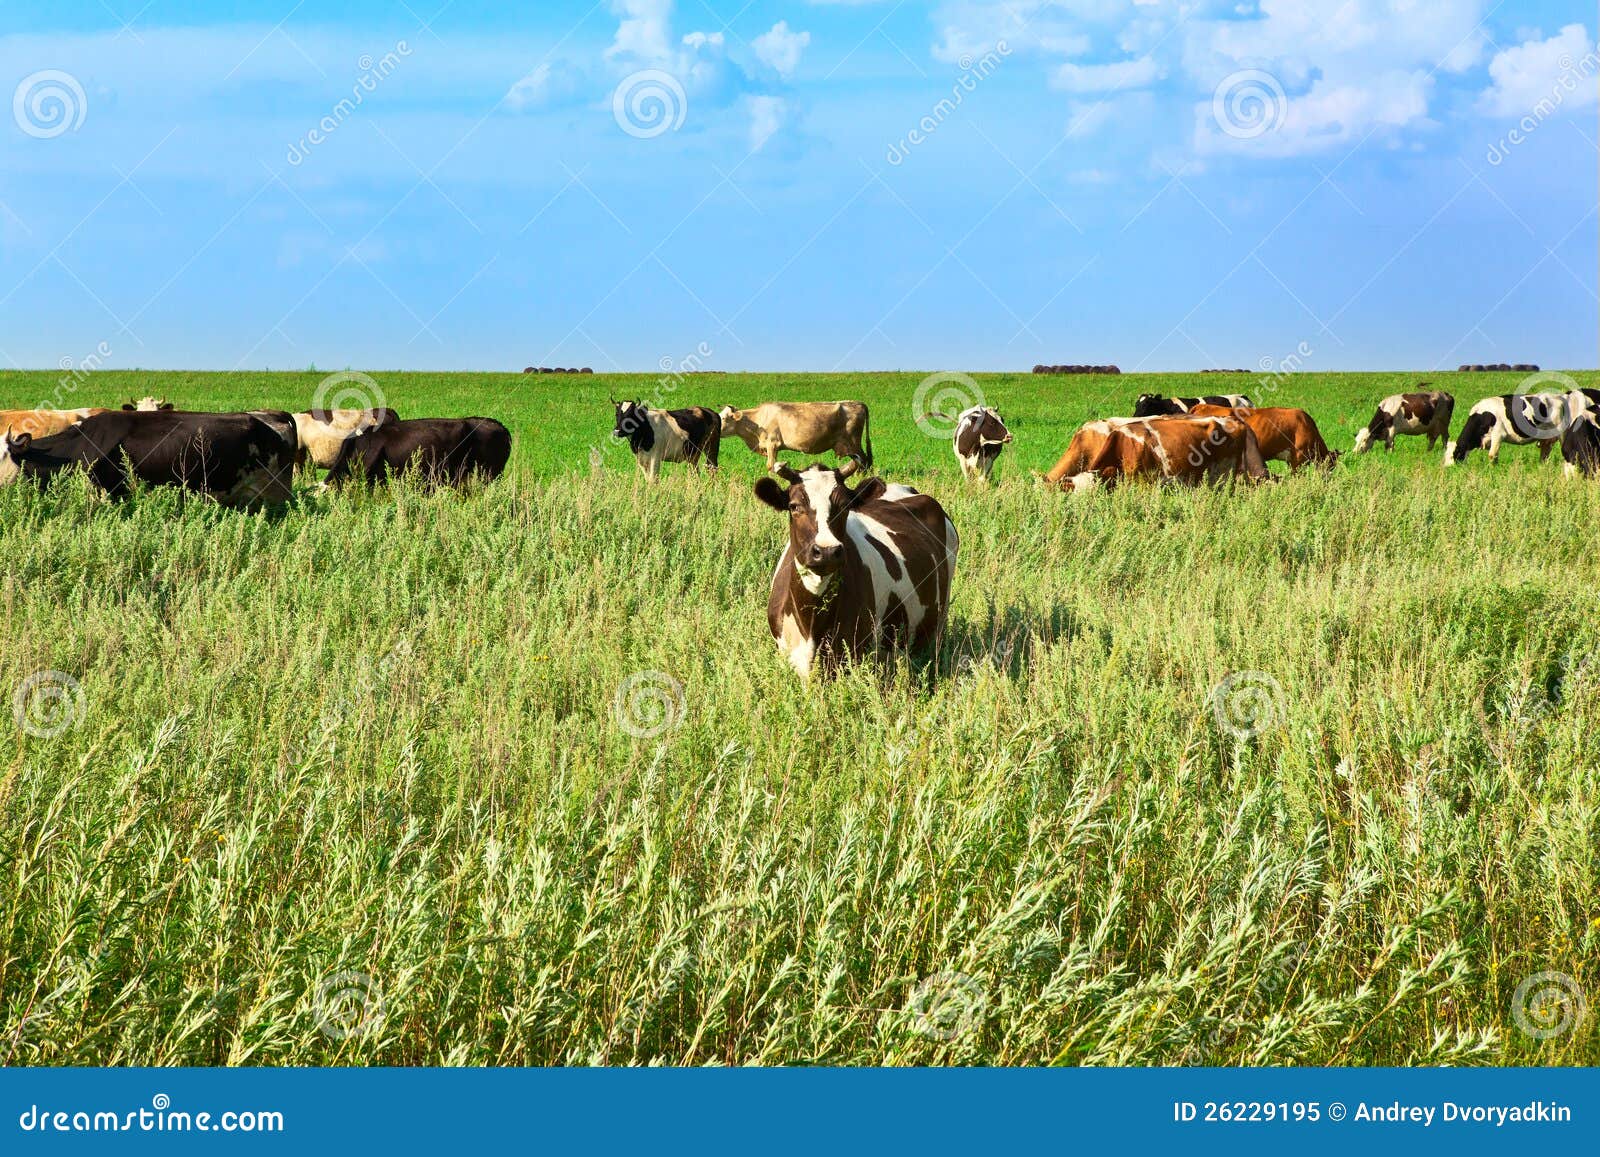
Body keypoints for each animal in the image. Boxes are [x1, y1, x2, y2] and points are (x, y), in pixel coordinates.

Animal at [719, 401, 873, 473]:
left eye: (724, 418)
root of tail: (857, 403)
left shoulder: (772, 444)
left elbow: (770, 466)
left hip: (853, 443)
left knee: (864, 461)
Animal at [1444, 392, 1595, 466]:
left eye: (1454, 455)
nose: (1449, 469)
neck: (1483, 415)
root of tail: (1563, 396)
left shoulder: (1498, 434)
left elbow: (1492, 455)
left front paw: (1492, 469)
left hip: (1562, 432)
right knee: (1545, 452)